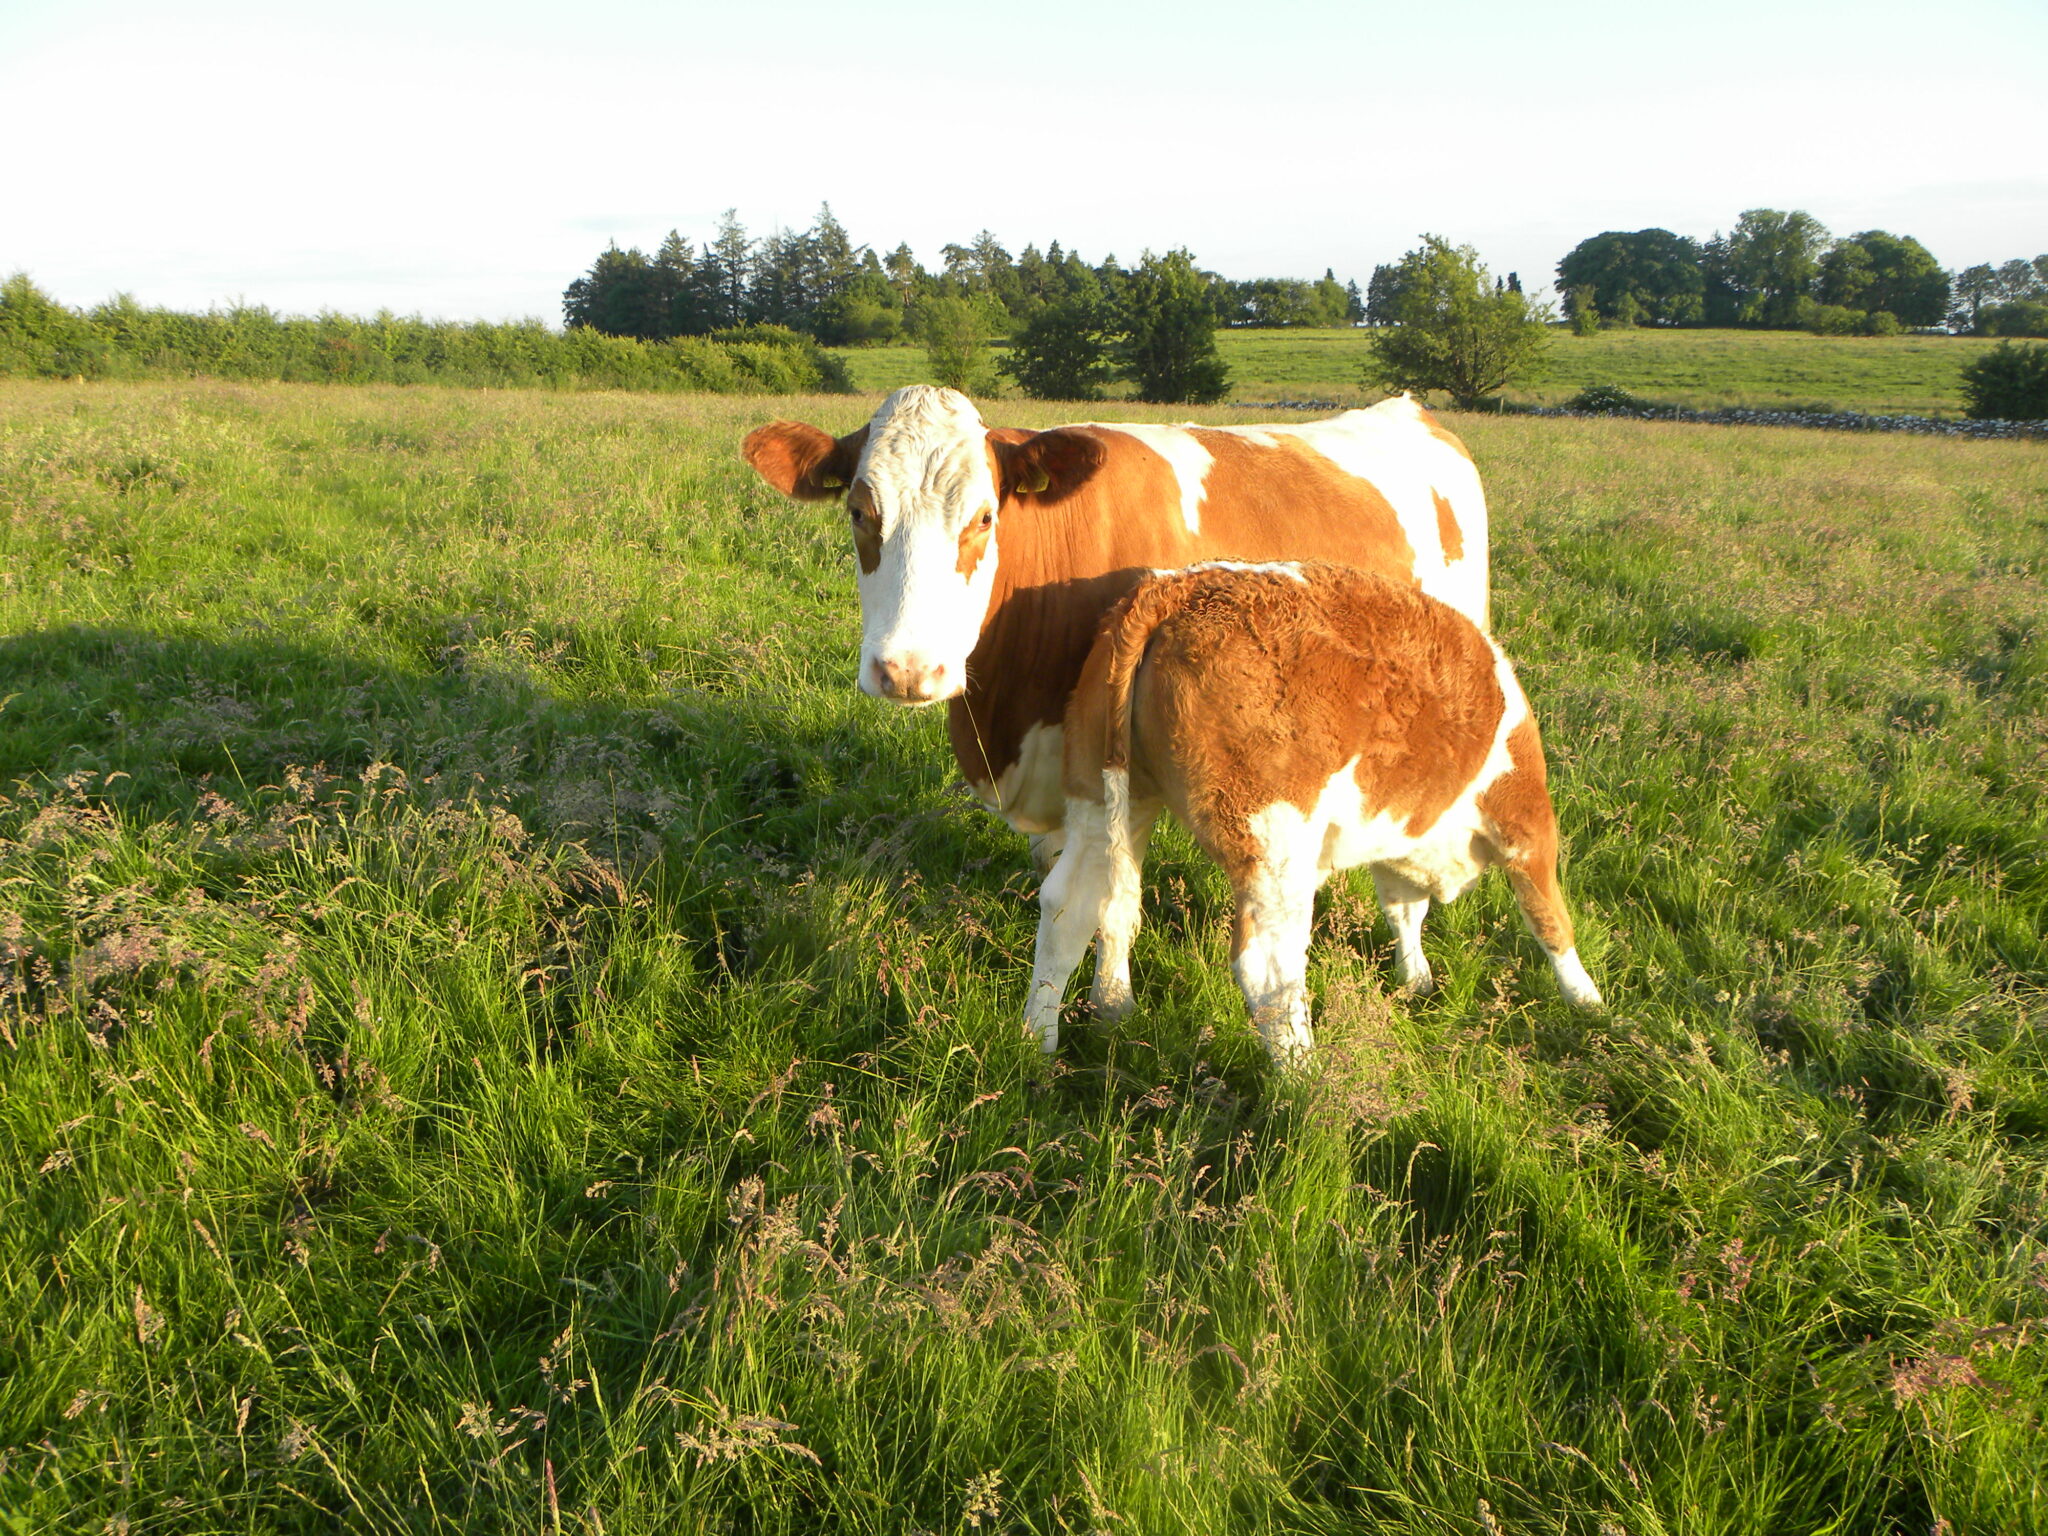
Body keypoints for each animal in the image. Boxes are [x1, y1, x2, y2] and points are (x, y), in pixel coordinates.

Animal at [1030, 561, 1604, 1061]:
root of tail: (1171, 590)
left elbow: (1403, 909)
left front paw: (1416, 977)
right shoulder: (1525, 816)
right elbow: (1548, 916)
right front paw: (1588, 1002)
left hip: (1104, 799)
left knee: (1072, 908)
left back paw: (1038, 1044)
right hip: (1272, 842)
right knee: (1268, 967)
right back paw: (1303, 1080)